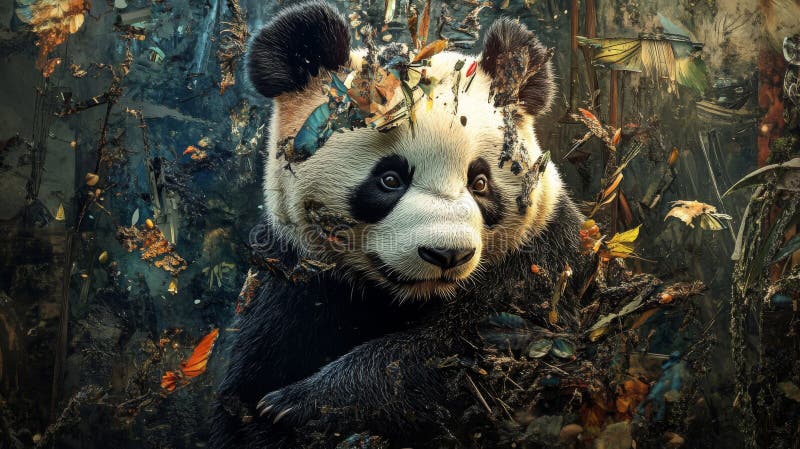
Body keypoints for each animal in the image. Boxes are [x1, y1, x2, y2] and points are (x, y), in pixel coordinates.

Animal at [211, 2, 587, 448]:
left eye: (479, 182)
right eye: (390, 179)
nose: (447, 254)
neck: (409, 299)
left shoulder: (543, 263)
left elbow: (463, 353)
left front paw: (299, 405)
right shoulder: (294, 276)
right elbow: (245, 393)